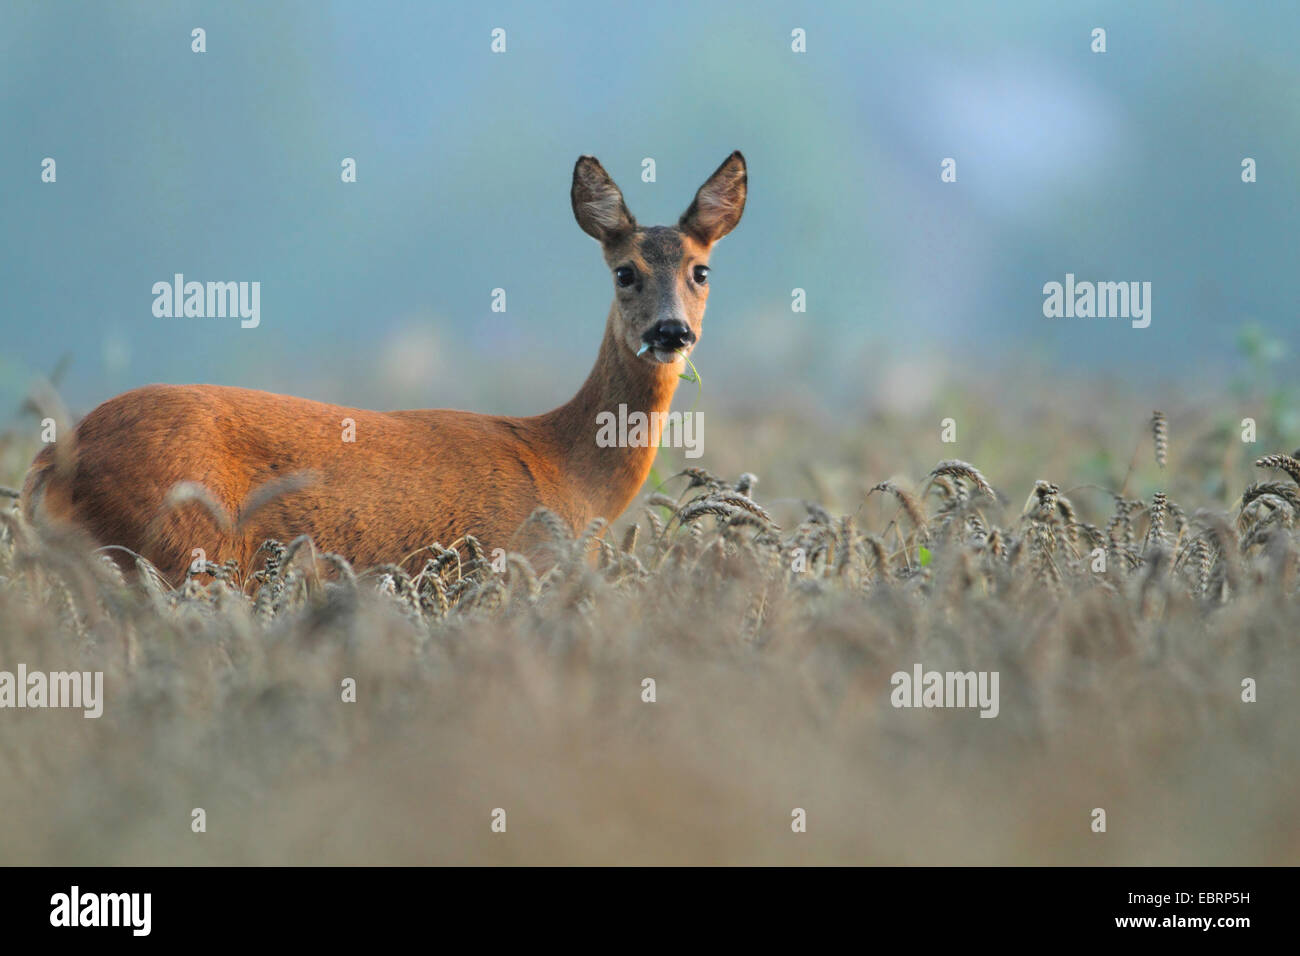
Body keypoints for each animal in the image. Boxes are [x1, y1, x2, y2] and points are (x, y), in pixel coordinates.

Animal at [21, 152, 748, 584]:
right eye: (625, 272)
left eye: (701, 270)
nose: (670, 331)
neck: (570, 477)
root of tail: (52, 460)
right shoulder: (507, 570)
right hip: (179, 552)